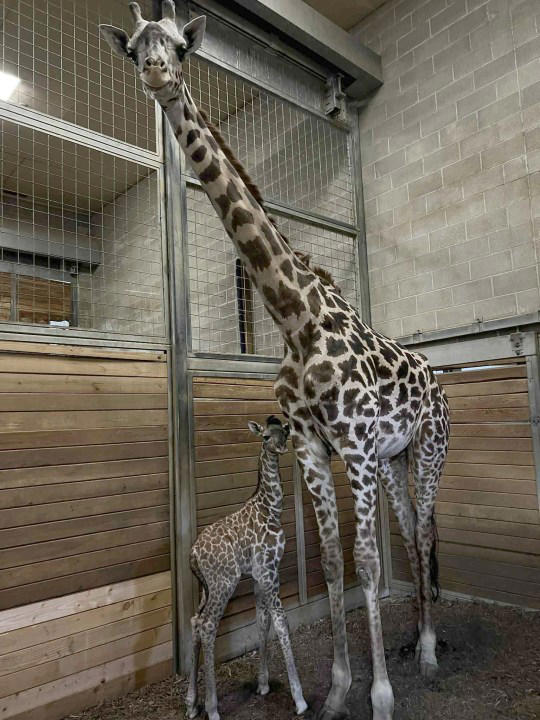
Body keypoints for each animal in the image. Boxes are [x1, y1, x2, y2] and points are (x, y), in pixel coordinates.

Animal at [187, 416, 307, 720]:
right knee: (208, 625)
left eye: (285, 431)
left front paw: (263, 685)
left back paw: (191, 703)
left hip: (205, 588)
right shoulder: (269, 569)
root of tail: (192, 556)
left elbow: (262, 620)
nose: (281, 447)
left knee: (195, 621)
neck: (272, 509)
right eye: (265, 436)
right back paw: (212, 708)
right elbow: (281, 622)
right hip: (224, 583)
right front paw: (299, 699)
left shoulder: (258, 575)